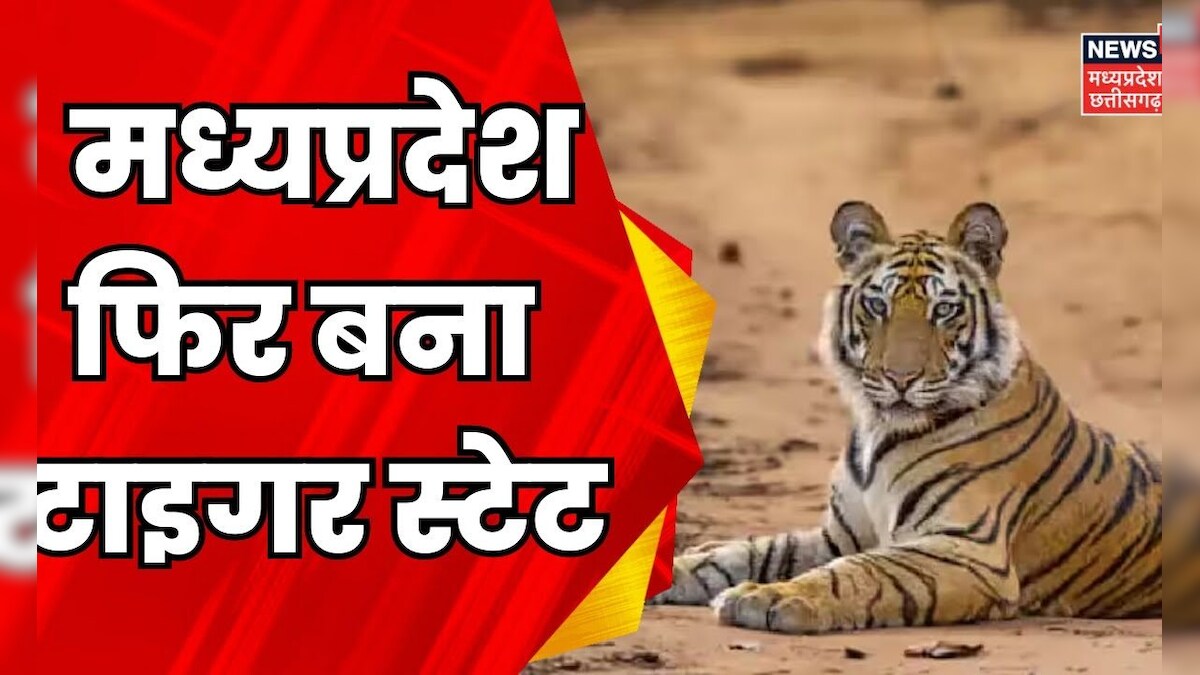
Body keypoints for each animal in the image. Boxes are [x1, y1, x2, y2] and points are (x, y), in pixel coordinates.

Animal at [650, 201, 1162, 634]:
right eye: (878, 305)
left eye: (945, 310)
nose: (900, 378)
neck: (879, 431)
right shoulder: (840, 534)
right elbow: (754, 550)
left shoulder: (966, 549)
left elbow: (856, 573)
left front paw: (769, 598)